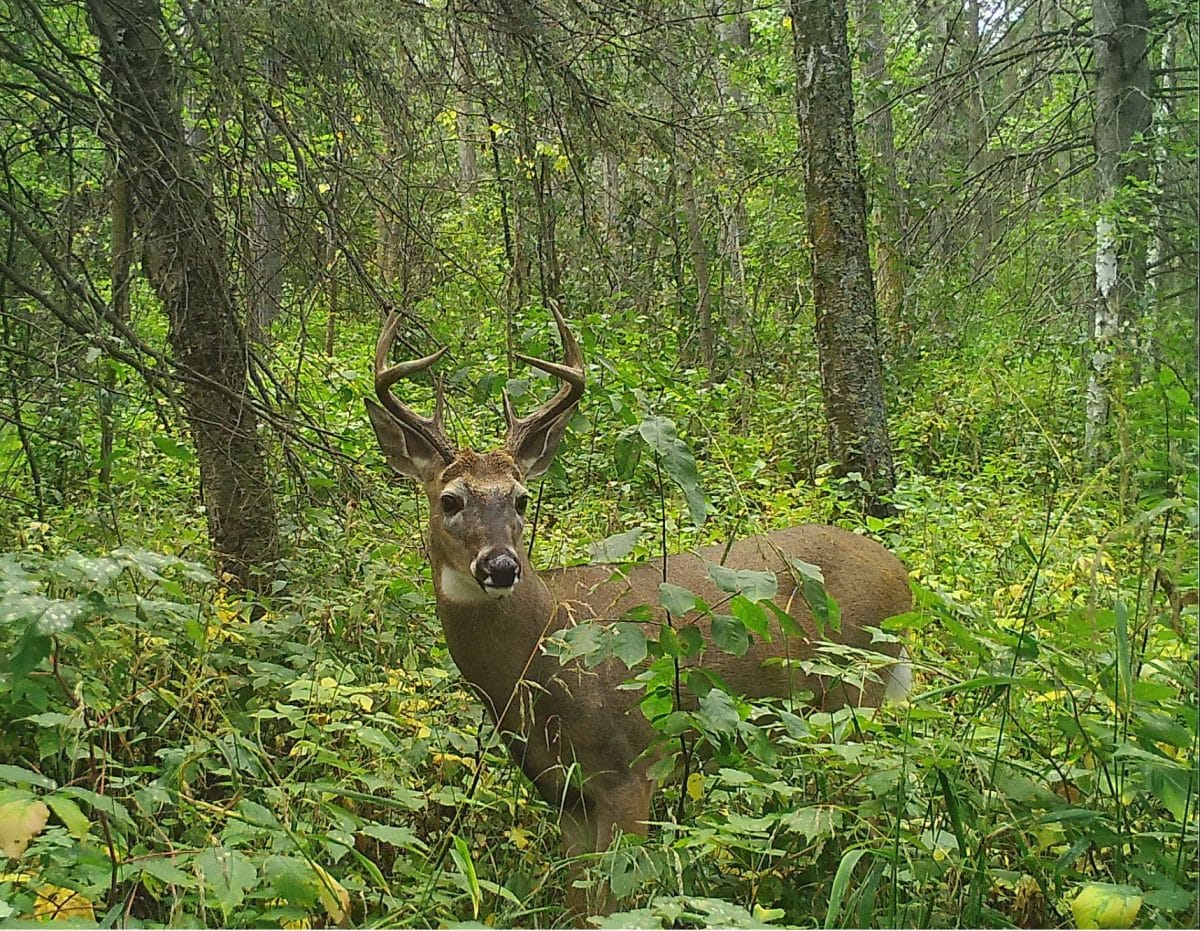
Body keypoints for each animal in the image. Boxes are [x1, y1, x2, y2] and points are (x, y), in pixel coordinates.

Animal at [365, 307, 913, 917]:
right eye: (450, 500)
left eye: (521, 499)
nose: (502, 566)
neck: (547, 651)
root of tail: (901, 574)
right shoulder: (563, 791)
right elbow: (579, 903)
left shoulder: (632, 767)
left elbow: (615, 901)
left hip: (857, 692)